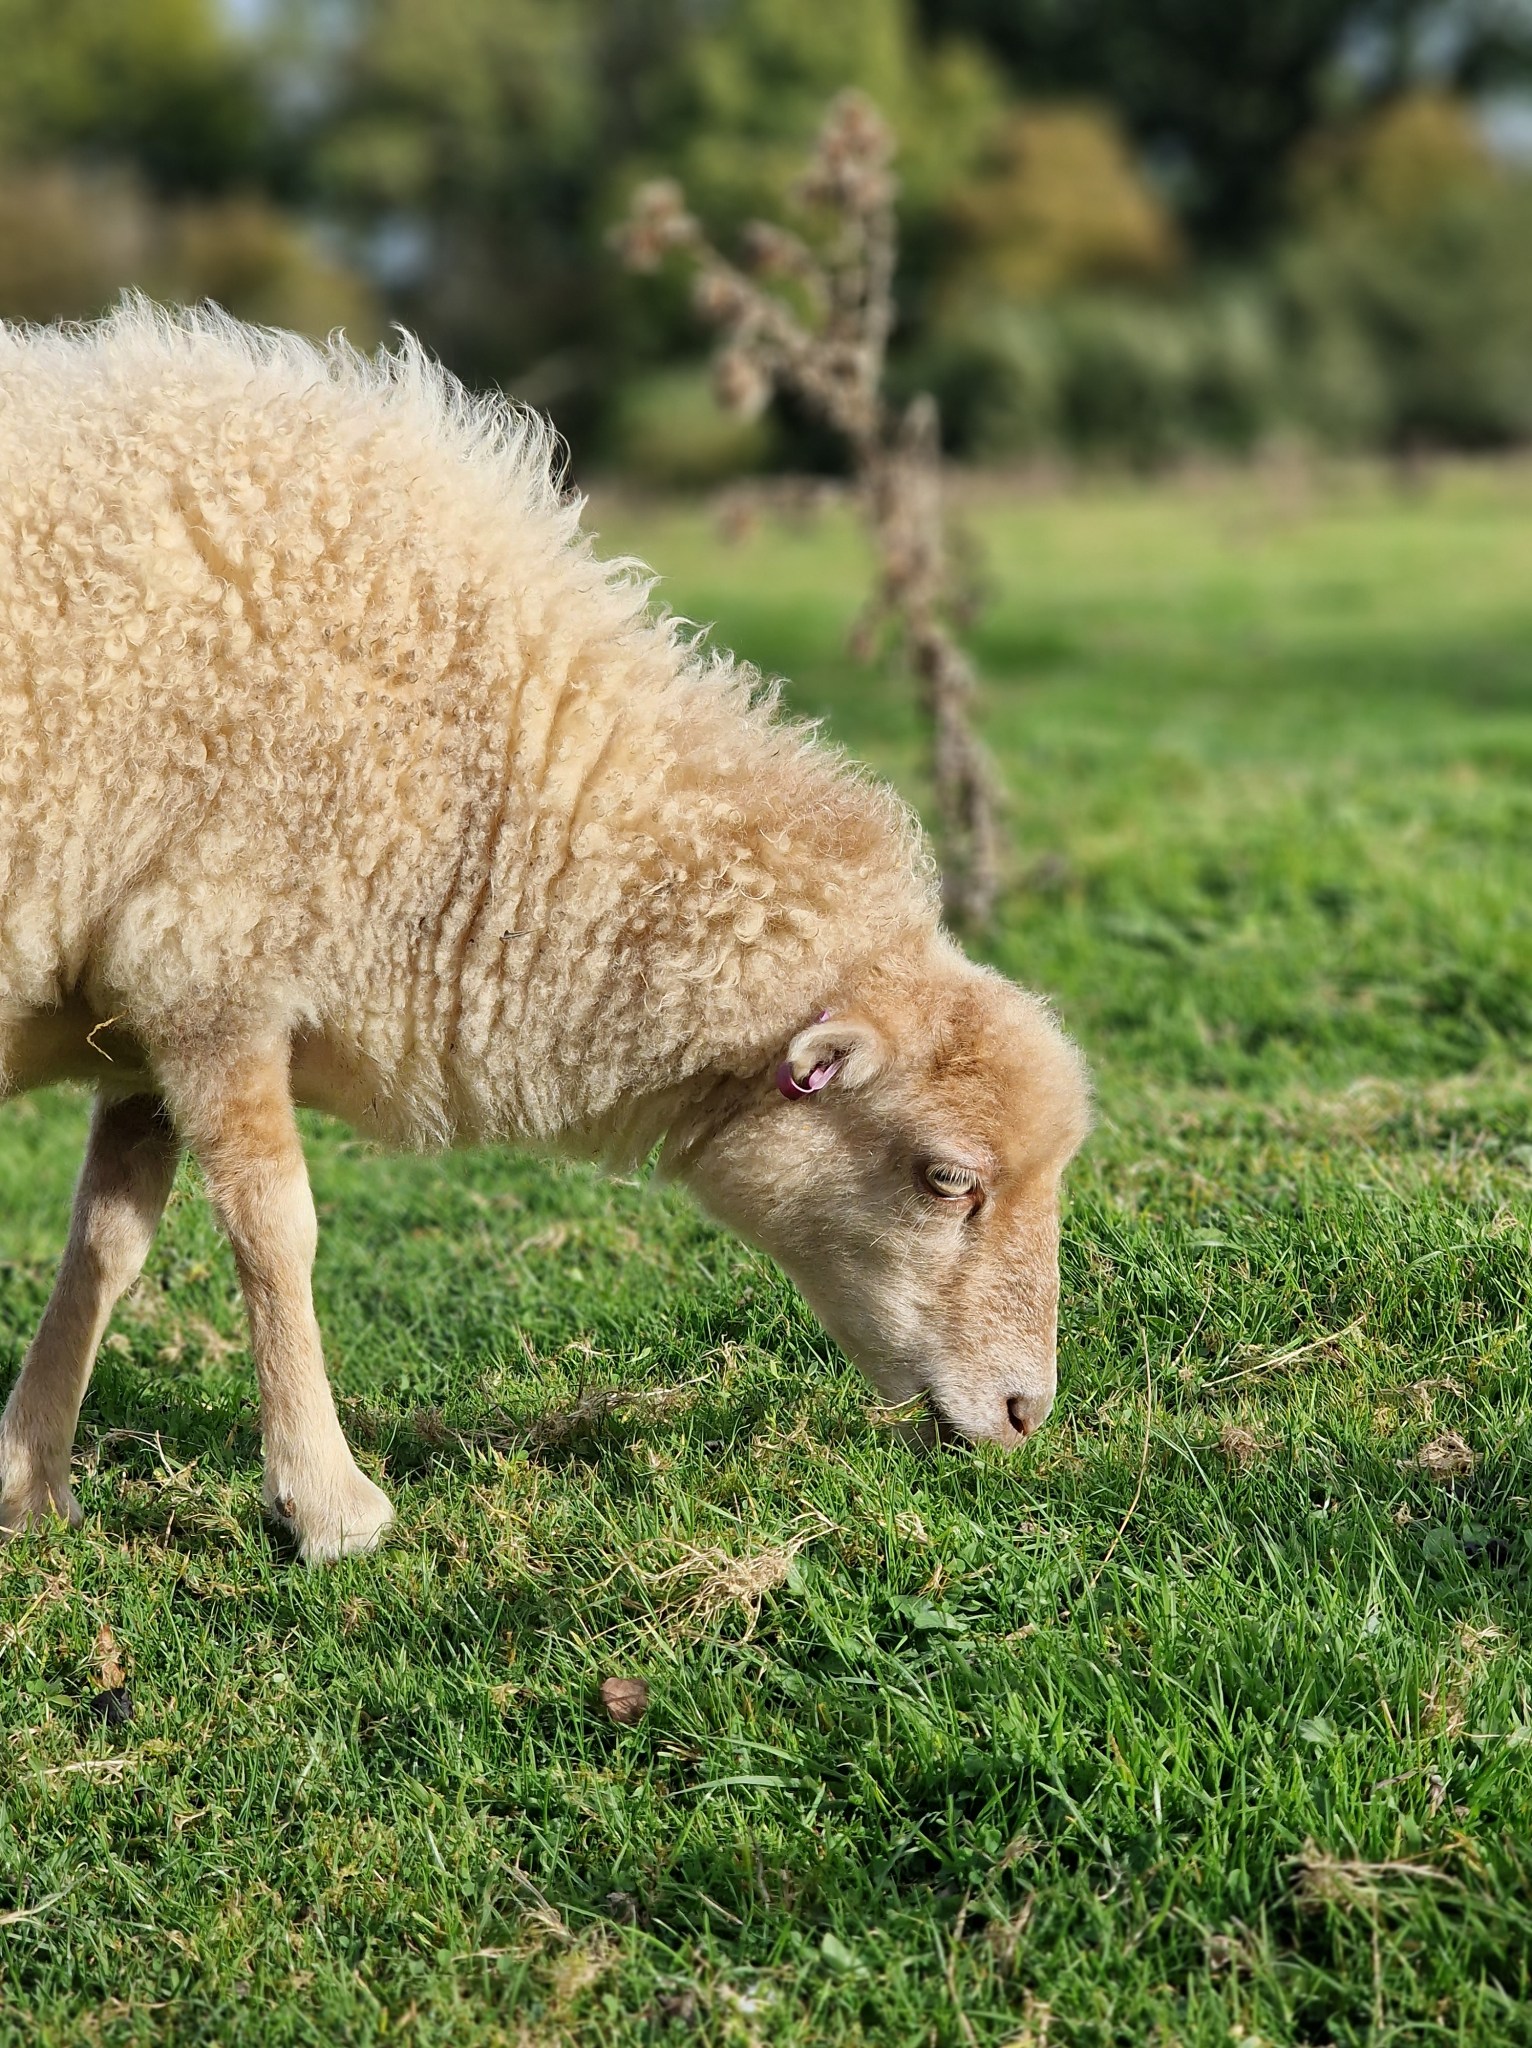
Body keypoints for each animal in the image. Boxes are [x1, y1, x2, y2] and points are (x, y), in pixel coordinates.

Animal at [0, 301, 1091, 1563]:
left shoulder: (143, 997)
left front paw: (31, 1482)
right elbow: (277, 1230)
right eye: (945, 1177)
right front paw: (327, 1502)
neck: (481, 768)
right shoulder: (215, 972)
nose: (1024, 1412)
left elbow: (107, 1243)